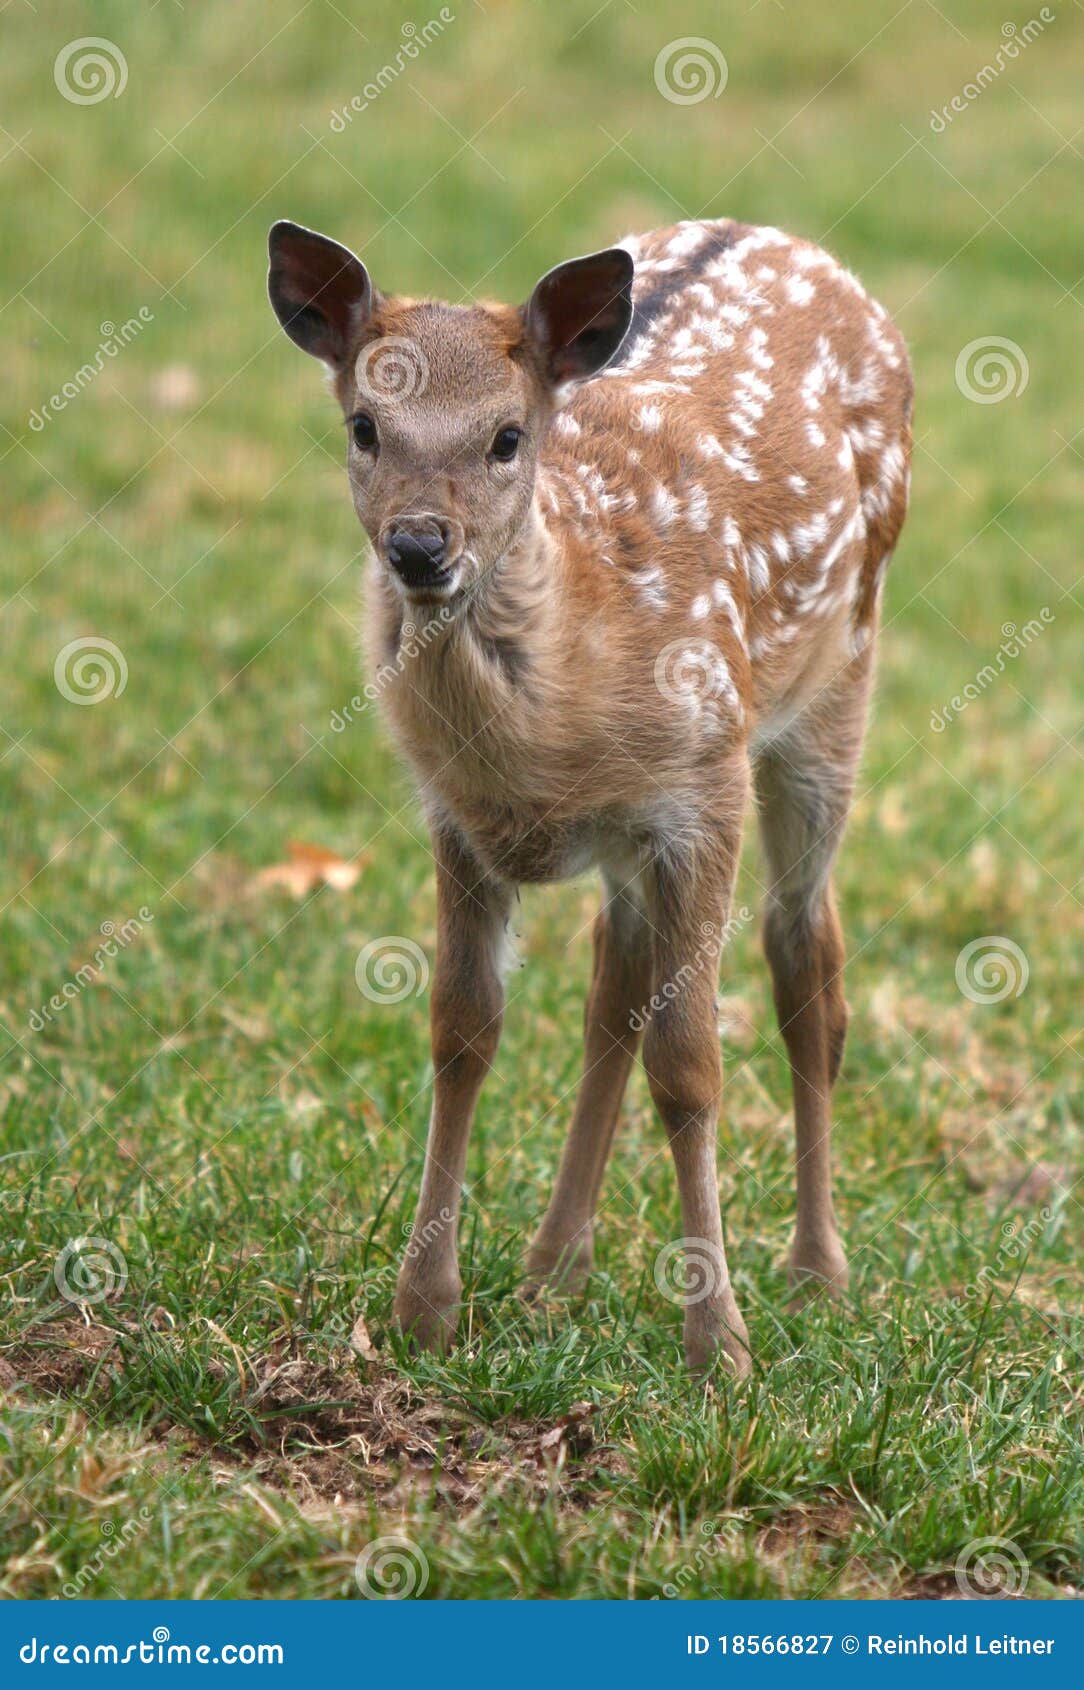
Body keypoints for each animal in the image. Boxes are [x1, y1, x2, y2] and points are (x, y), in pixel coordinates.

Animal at [267, 214, 912, 1377]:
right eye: (364, 425)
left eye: (507, 437)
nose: (419, 546)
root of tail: (786, 238)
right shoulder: (456, 816)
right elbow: (463, 1028)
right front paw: (423, 1310)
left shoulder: (703, 785)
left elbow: (690, 1063)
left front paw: (720, 1348)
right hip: (636, 838)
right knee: (616, 977)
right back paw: (553, 1266)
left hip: (838, 687)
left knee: (807, 958)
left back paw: (816, 1271)